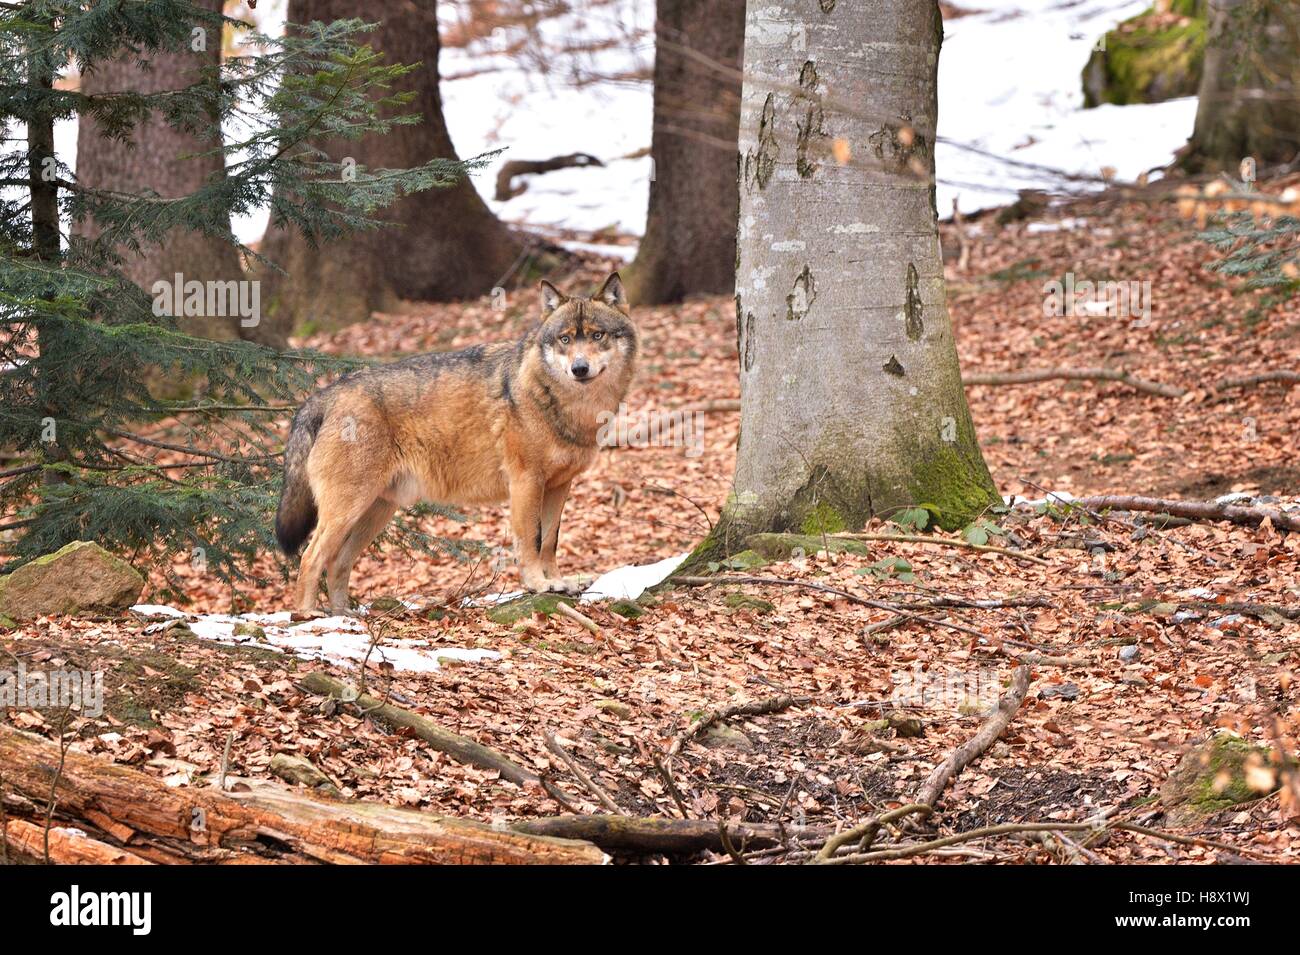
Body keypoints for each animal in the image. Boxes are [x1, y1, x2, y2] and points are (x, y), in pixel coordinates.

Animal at [274, 273, 637, 613]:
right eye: (565, 339)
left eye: (597, 335)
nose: (579, 368)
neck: (563, 403)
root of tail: (324, 394)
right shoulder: (525, 482)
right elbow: (528, 542)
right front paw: (538, 584)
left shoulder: (560, 485)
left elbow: (548, 542)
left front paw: (558, 582)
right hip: (348, 510)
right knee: (310, 558)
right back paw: (308, 617)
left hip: (375, 513)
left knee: (338, 562)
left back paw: (345, 617)